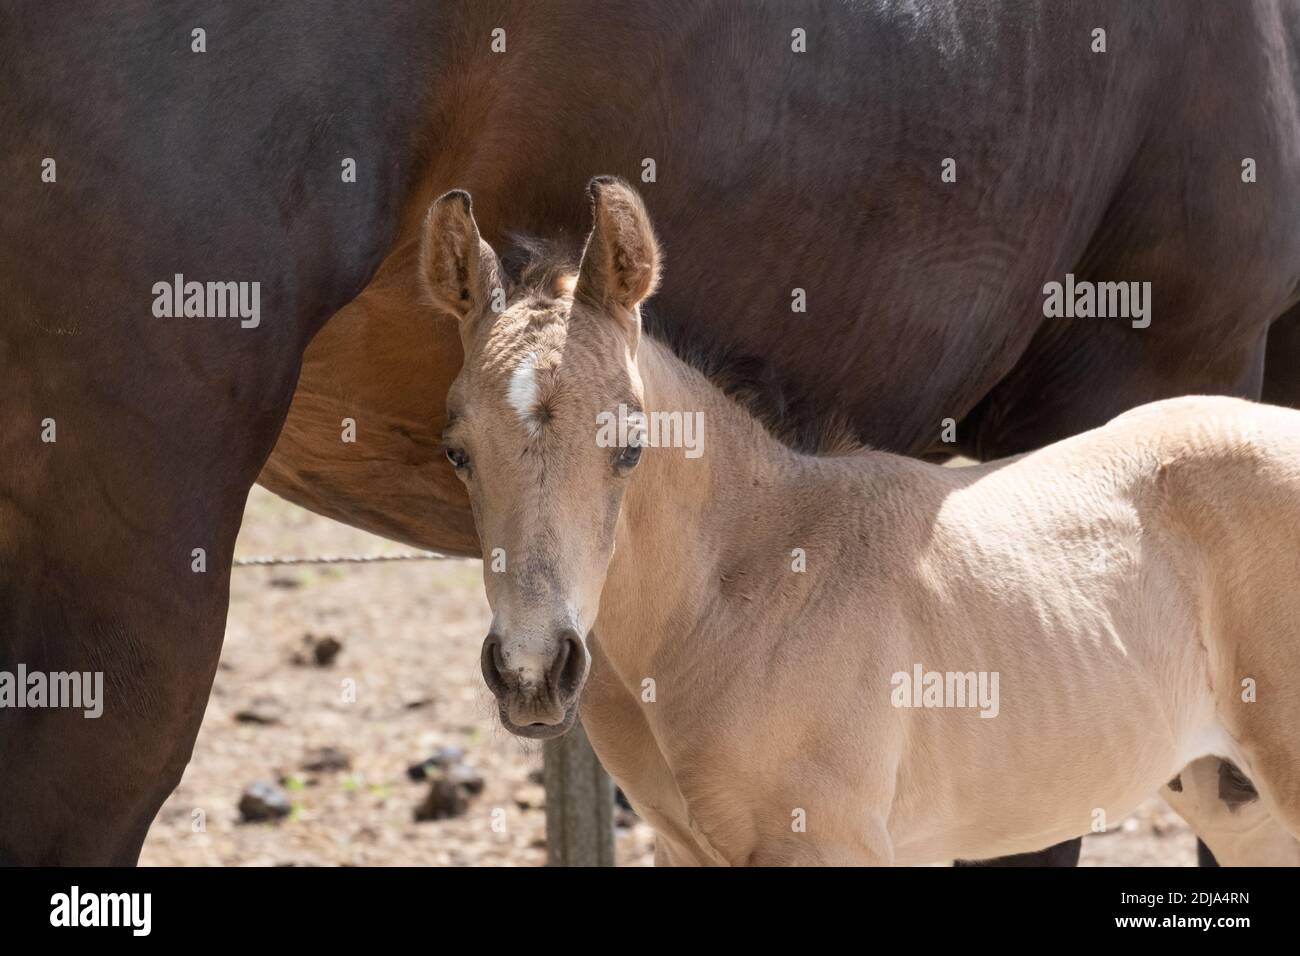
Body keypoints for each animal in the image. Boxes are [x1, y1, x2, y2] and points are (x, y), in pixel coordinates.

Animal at [431, 177, 1300, 865]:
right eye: (456, 451)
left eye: (631, 446)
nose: (532, 671)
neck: (741, 590)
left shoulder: (832, 843)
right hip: (1237, 803)